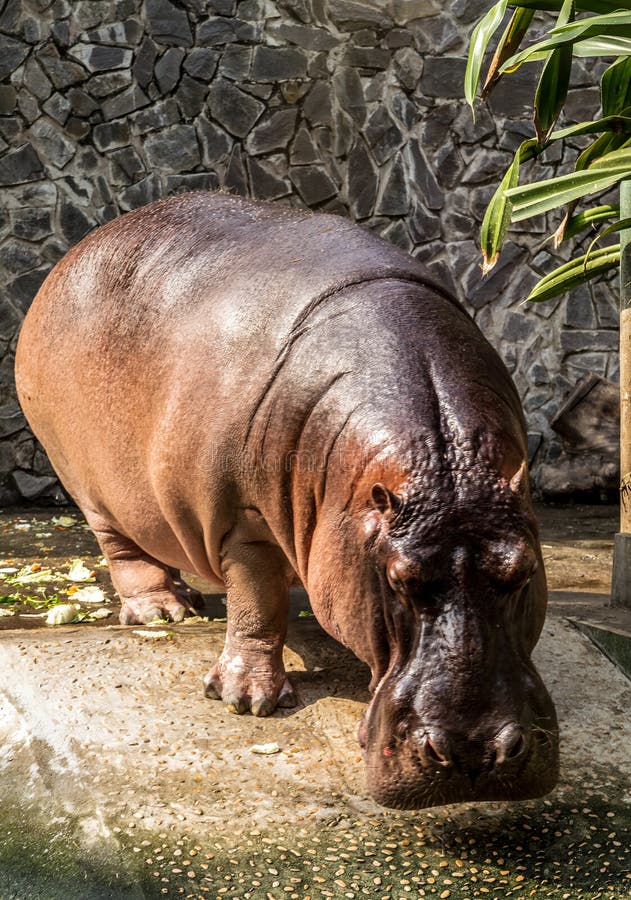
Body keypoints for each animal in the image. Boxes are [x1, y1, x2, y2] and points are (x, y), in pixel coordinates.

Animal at [15, 192, 559, 809]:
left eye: (524, 570)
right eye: (398, 579)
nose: (474, 755)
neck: (440, 462)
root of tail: (73, 254)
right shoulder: (241, 521)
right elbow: (259, 602)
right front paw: (246, 701)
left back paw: (187, 600)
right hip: (88, 486)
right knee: (123, 549)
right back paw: (163, 612)